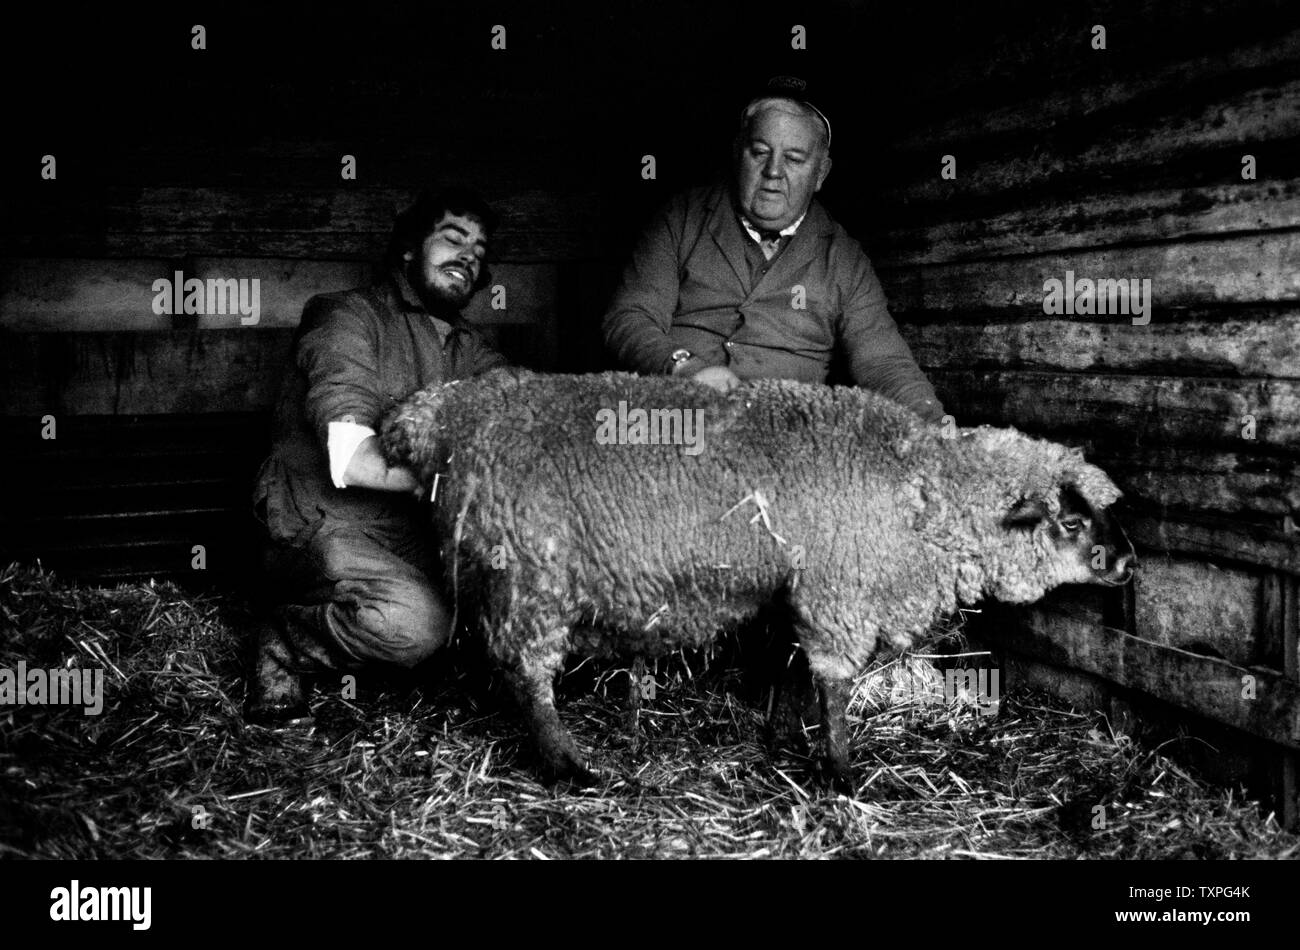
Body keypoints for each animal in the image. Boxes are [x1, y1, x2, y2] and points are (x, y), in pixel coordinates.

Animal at [380, 367, 1135, 789]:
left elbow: (786, 666)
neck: (920, 489)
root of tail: (442, 415)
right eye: (1071, 522)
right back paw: (569, 764)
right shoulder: (837, 593)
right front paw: (841, 771)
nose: (1129, 562)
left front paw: (780, 735)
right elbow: (833, 684)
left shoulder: (794, 588)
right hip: (529, 576)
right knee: (527, 673)